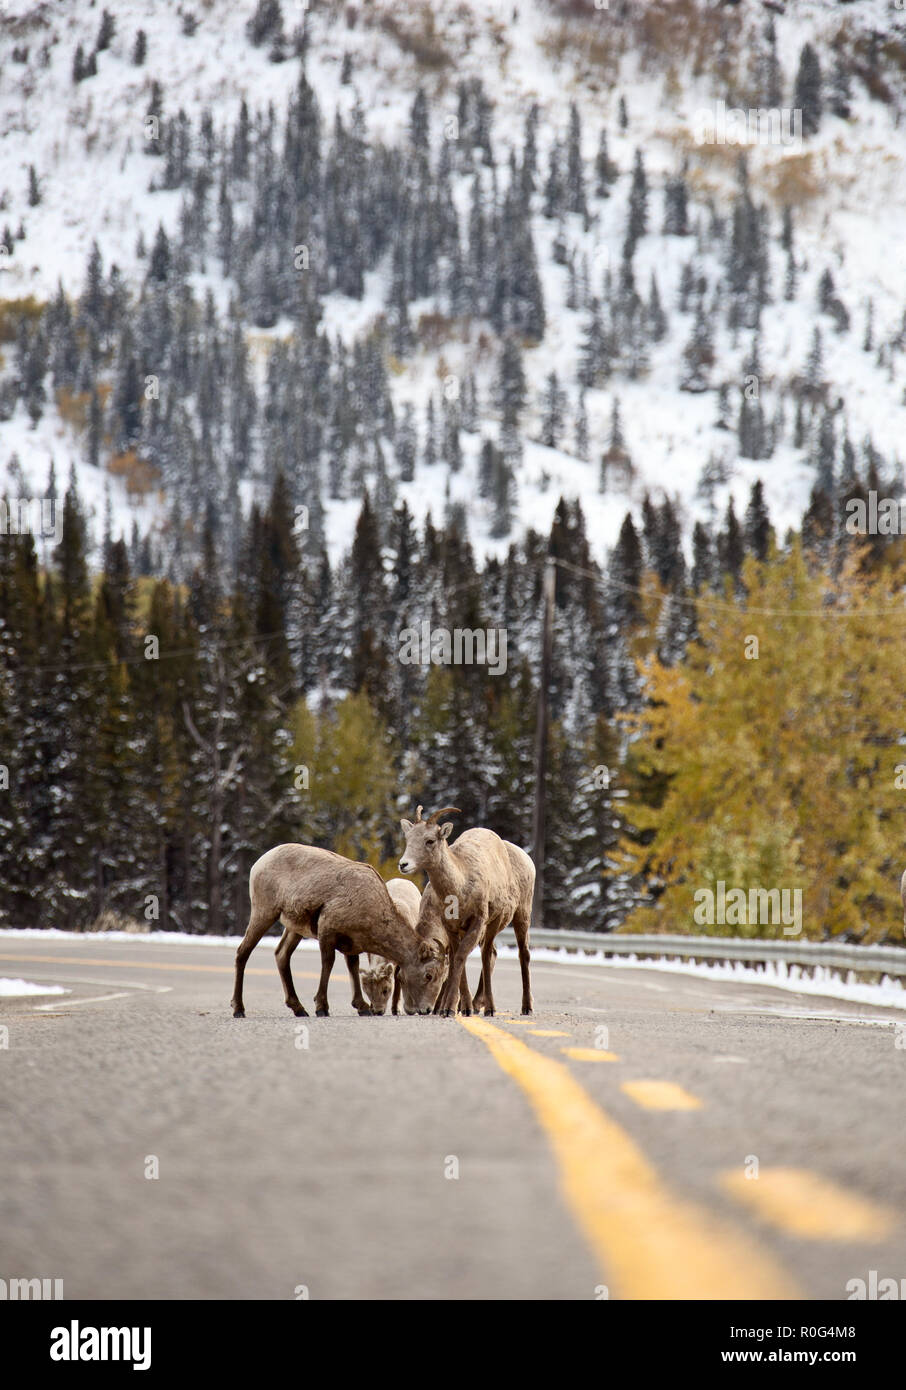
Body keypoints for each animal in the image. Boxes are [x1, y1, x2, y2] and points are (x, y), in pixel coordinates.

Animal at [397, 806, 534, 1018]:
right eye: (408, 838)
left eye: (430, 840)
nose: (404, 864)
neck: (459, 888)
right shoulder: (452, 928)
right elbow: (456, 961)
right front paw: (458, 1007)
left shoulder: (477, 922)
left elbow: (460, 957)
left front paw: (449, 1009)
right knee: (489, 955)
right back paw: (479, 1005)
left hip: (516, 917)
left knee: (516, 955)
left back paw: (516, 1008)